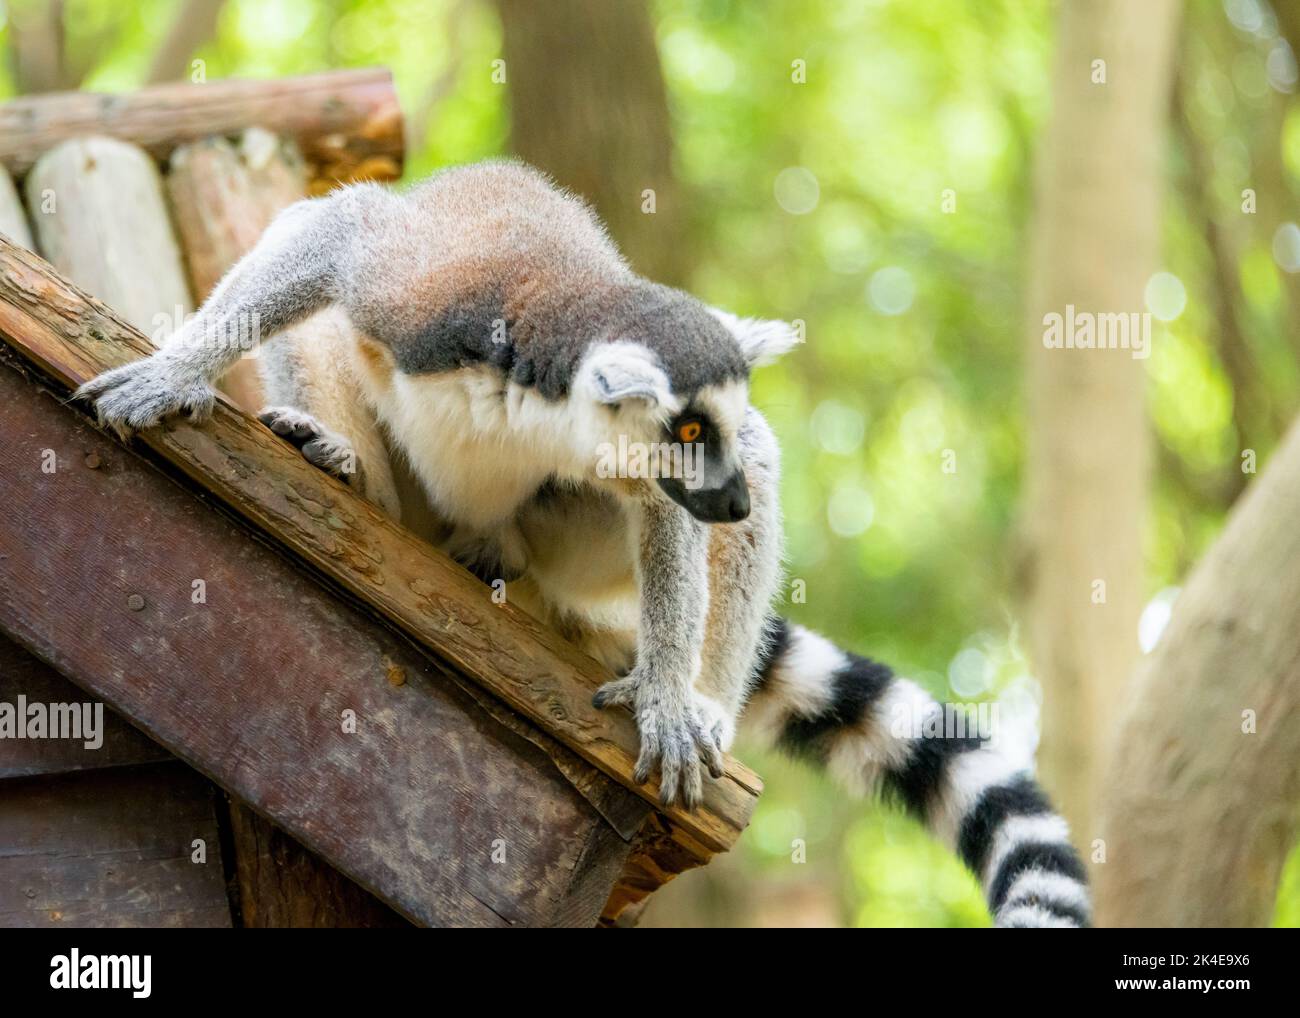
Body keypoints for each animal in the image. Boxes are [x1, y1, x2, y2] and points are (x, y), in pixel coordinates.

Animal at [79, 159, 1089, 927]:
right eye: (690, 429)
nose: (725, 501)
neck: (543, 389)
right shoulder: (424, 300)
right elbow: (330, 225)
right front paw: (174, 372)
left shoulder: (630, 471)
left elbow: (675, 523)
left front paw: (671, 698)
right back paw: (344, 464)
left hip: (563, 548)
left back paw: (702, 695)